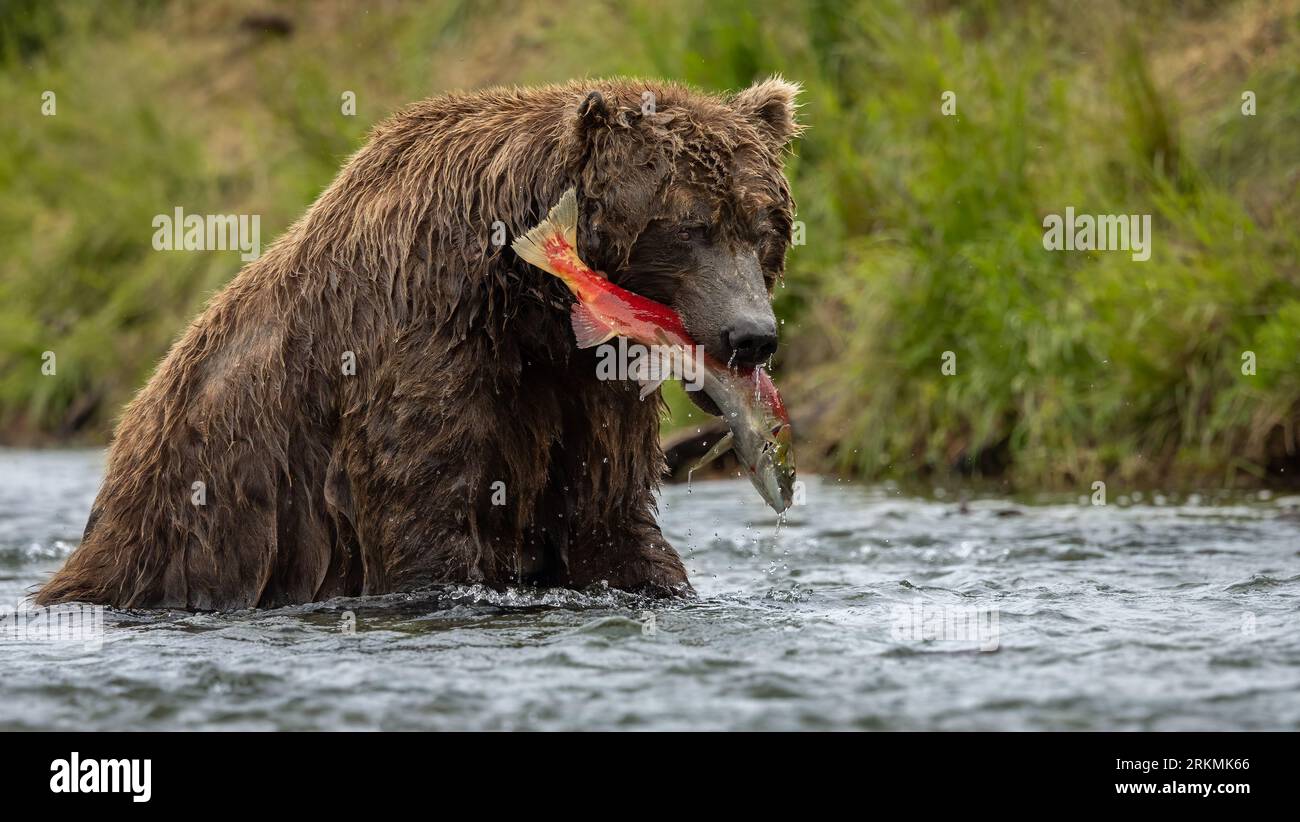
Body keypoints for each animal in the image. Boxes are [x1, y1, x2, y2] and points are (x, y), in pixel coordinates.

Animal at [34, 77, 801, 610]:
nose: (752, 336)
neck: (526, 302)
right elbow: (425, 516)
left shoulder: (584, 381)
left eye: (763, 225)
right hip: (189, 530)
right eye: (693, 226)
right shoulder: (417, 345)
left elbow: (607, 514)